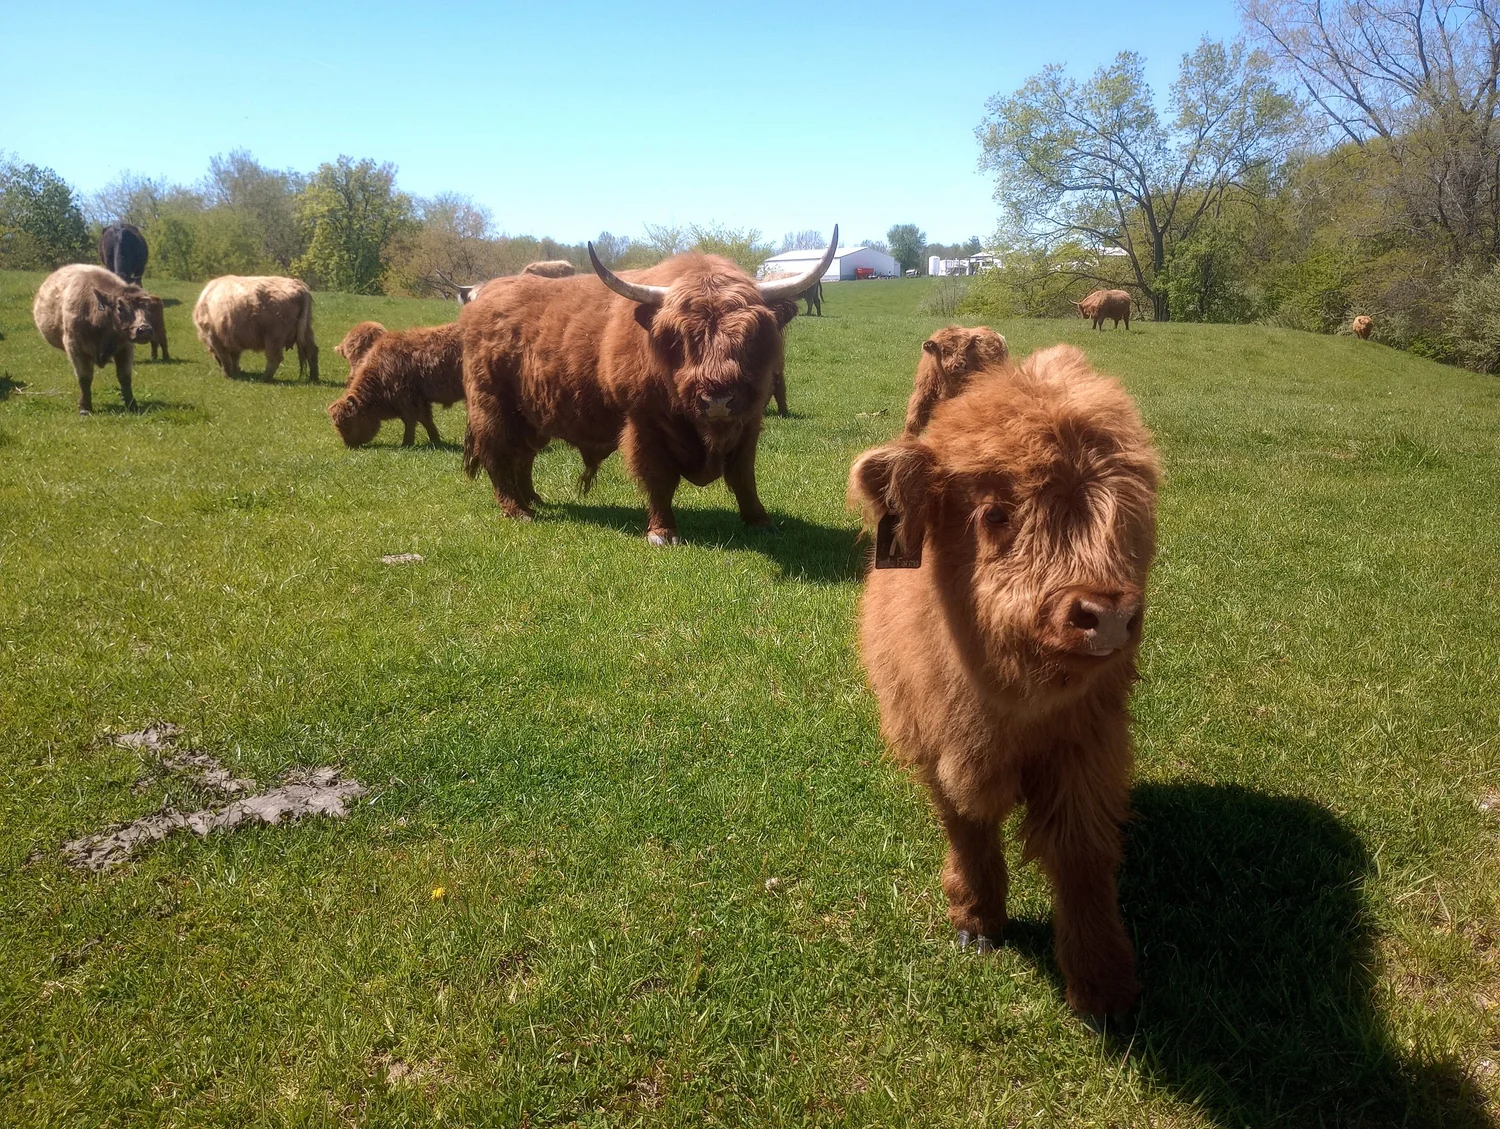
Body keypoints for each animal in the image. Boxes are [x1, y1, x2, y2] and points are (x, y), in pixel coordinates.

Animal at [32, 264, 156, 413]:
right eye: (120, 308)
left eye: (148, 308)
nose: (145, 330)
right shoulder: (75, 347)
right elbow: (84, 378)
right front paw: (85, 407)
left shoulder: (126, 348)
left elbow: (125, 377)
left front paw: (131, 404)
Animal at [327, 323, 464, 447]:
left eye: (347, 422)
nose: (348, 444)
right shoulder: (420, 401)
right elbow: (426, 420)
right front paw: (435, 440)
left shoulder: (407, 400)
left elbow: (411, 421)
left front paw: (407, 443)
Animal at [461, 227, 839, 542]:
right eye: (682, 338)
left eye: (749, 337)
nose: (718, 400)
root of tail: (483, 296)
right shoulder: (644, 423)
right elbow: (659, 478)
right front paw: (662, 532)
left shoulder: (749, 421)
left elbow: (743, 475)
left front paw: (759, 520)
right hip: (490, 404)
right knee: (497, 455)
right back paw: (517, 510)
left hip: (531, 415)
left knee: (523, 455)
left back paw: (534, 499)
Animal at [849, 343, 1160, 1023]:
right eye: (994, 513)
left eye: (1128, 516)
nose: (1106, 615)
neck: (1001, 707)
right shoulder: (935, 744)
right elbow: (966, 824)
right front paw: (976, 920)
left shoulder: (1088, 749)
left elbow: (1080, 855)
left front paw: (1102, 987)